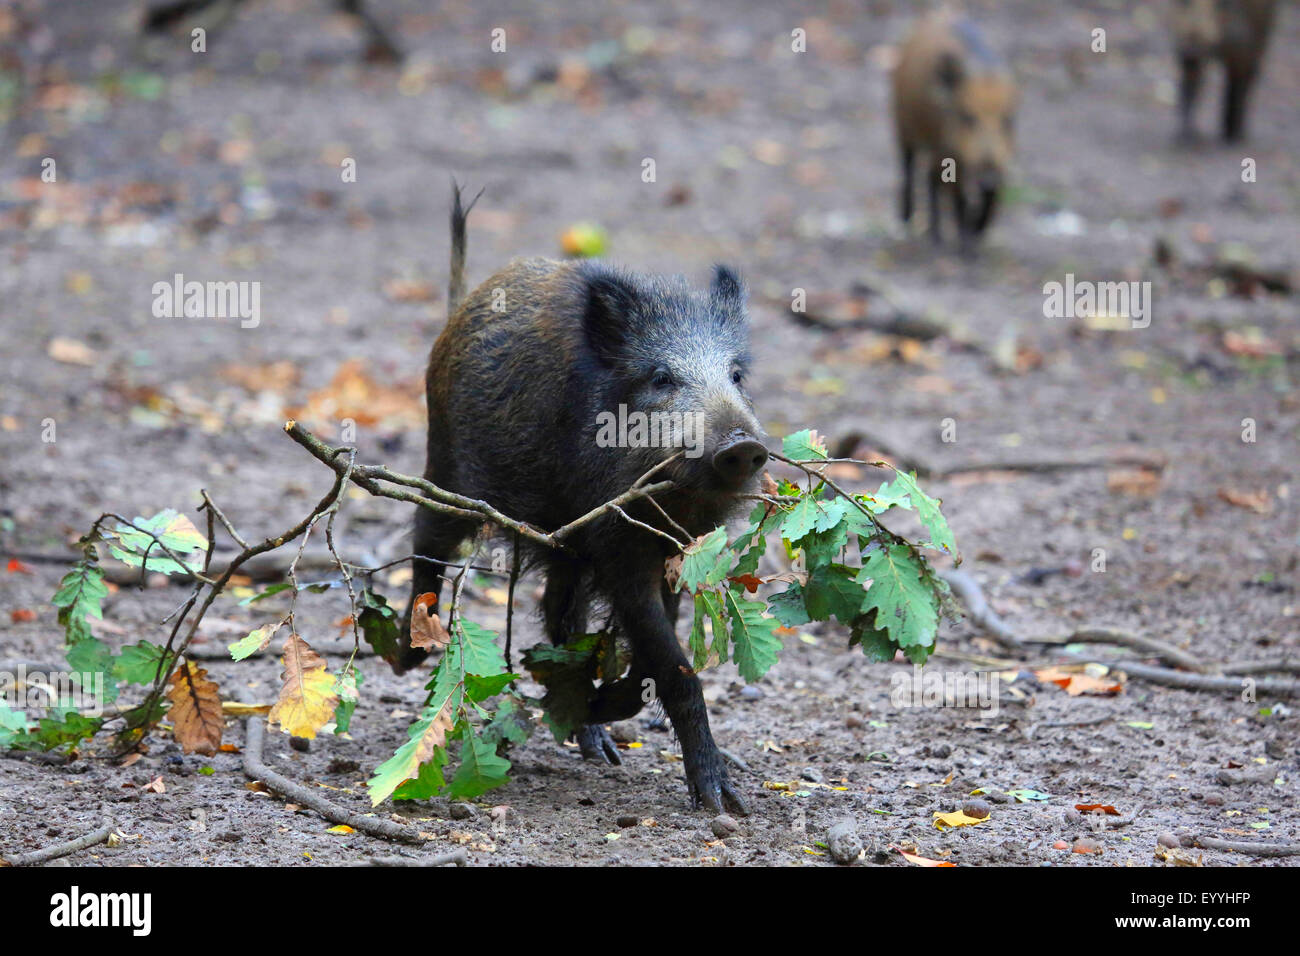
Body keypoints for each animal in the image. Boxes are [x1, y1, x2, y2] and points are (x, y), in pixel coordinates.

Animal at [391, 186, 768, 813]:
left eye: (737, 375)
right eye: (661, 377)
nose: (744, 444)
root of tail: (460, 309)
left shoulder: (669, 550)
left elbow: (652, 653)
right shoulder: (618, 545)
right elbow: (673, 665)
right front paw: (722, 805)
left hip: (562, 541)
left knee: (557, 614)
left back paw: (594, 742)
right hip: (448, 467)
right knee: (426, 539)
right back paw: (411, 653)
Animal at [892, 10, 1017, 247]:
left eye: (1008, 120)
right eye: (967, 117)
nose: (988, 177)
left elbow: (991, 196)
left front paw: (977, 232)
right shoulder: (951, 153)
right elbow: (959, 198)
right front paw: (966, 244)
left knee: (930, 178)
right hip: (902, 125)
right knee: (910, 168)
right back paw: (911, 222)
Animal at [1169, 0, 1279, 142]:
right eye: (1183, 2)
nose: (1191, 50)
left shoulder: (1243, 50)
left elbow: (1239, 87)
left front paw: (1236, 136)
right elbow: (1190, 89)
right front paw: (1185, 136)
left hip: (1262, 36)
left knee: (1249, 79)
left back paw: (1235, 132)